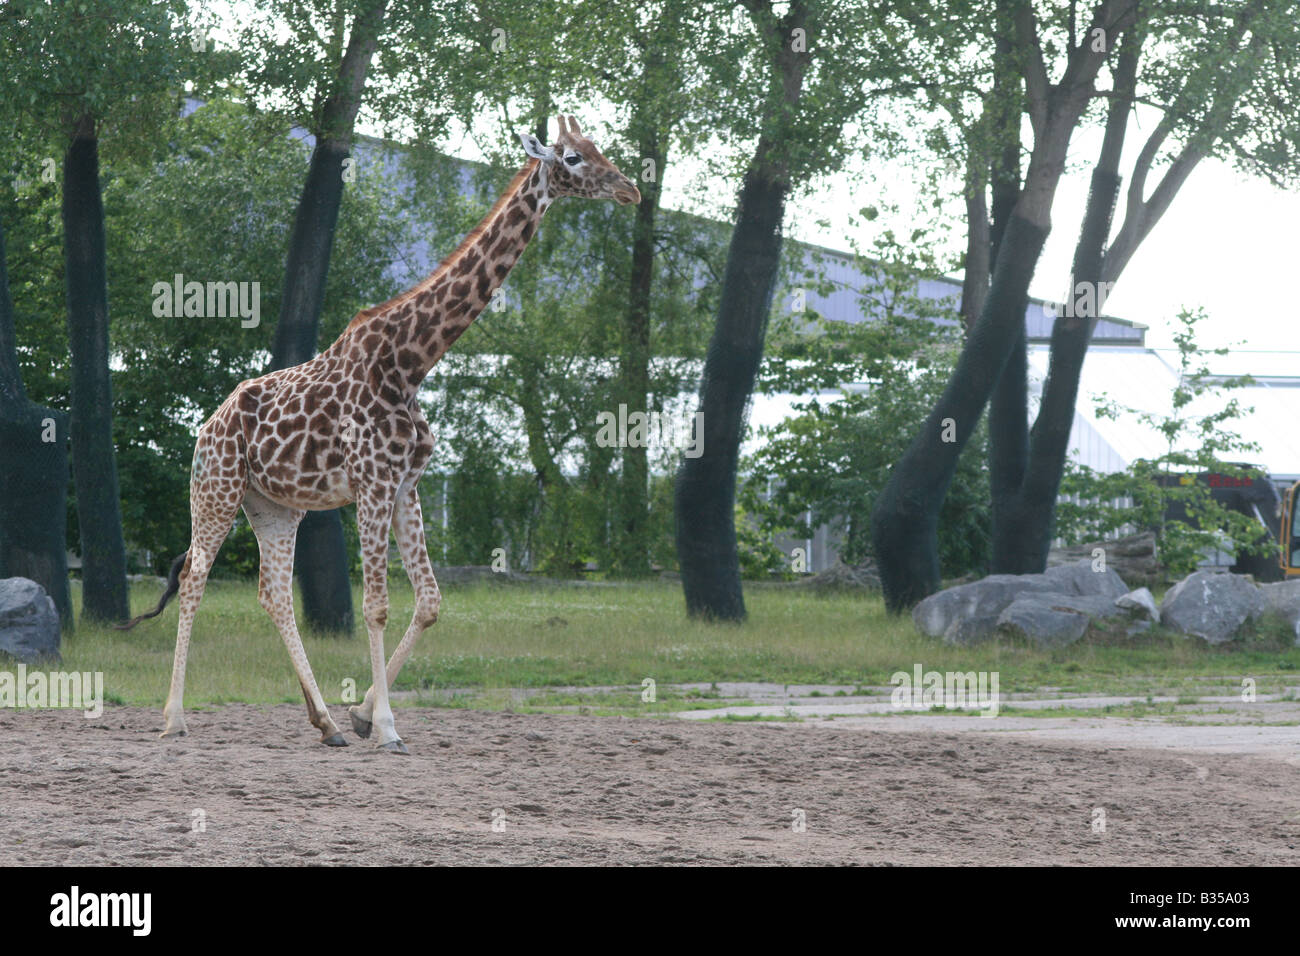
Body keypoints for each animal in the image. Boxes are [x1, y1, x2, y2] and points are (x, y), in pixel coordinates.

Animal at [118, 116, 640, 753]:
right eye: (573, 156)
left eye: (597, 148)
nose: (632, 190)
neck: (413, 360)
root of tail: (206, 426)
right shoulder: (372, 482)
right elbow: (376, 606)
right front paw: (388, 726)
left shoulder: (406, 484)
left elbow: (431, 601)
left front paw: (363, 714)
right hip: (215, 490)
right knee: (195, 578)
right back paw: (174, 717)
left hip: (274, 506)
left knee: (272, 593)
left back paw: (325, 722)